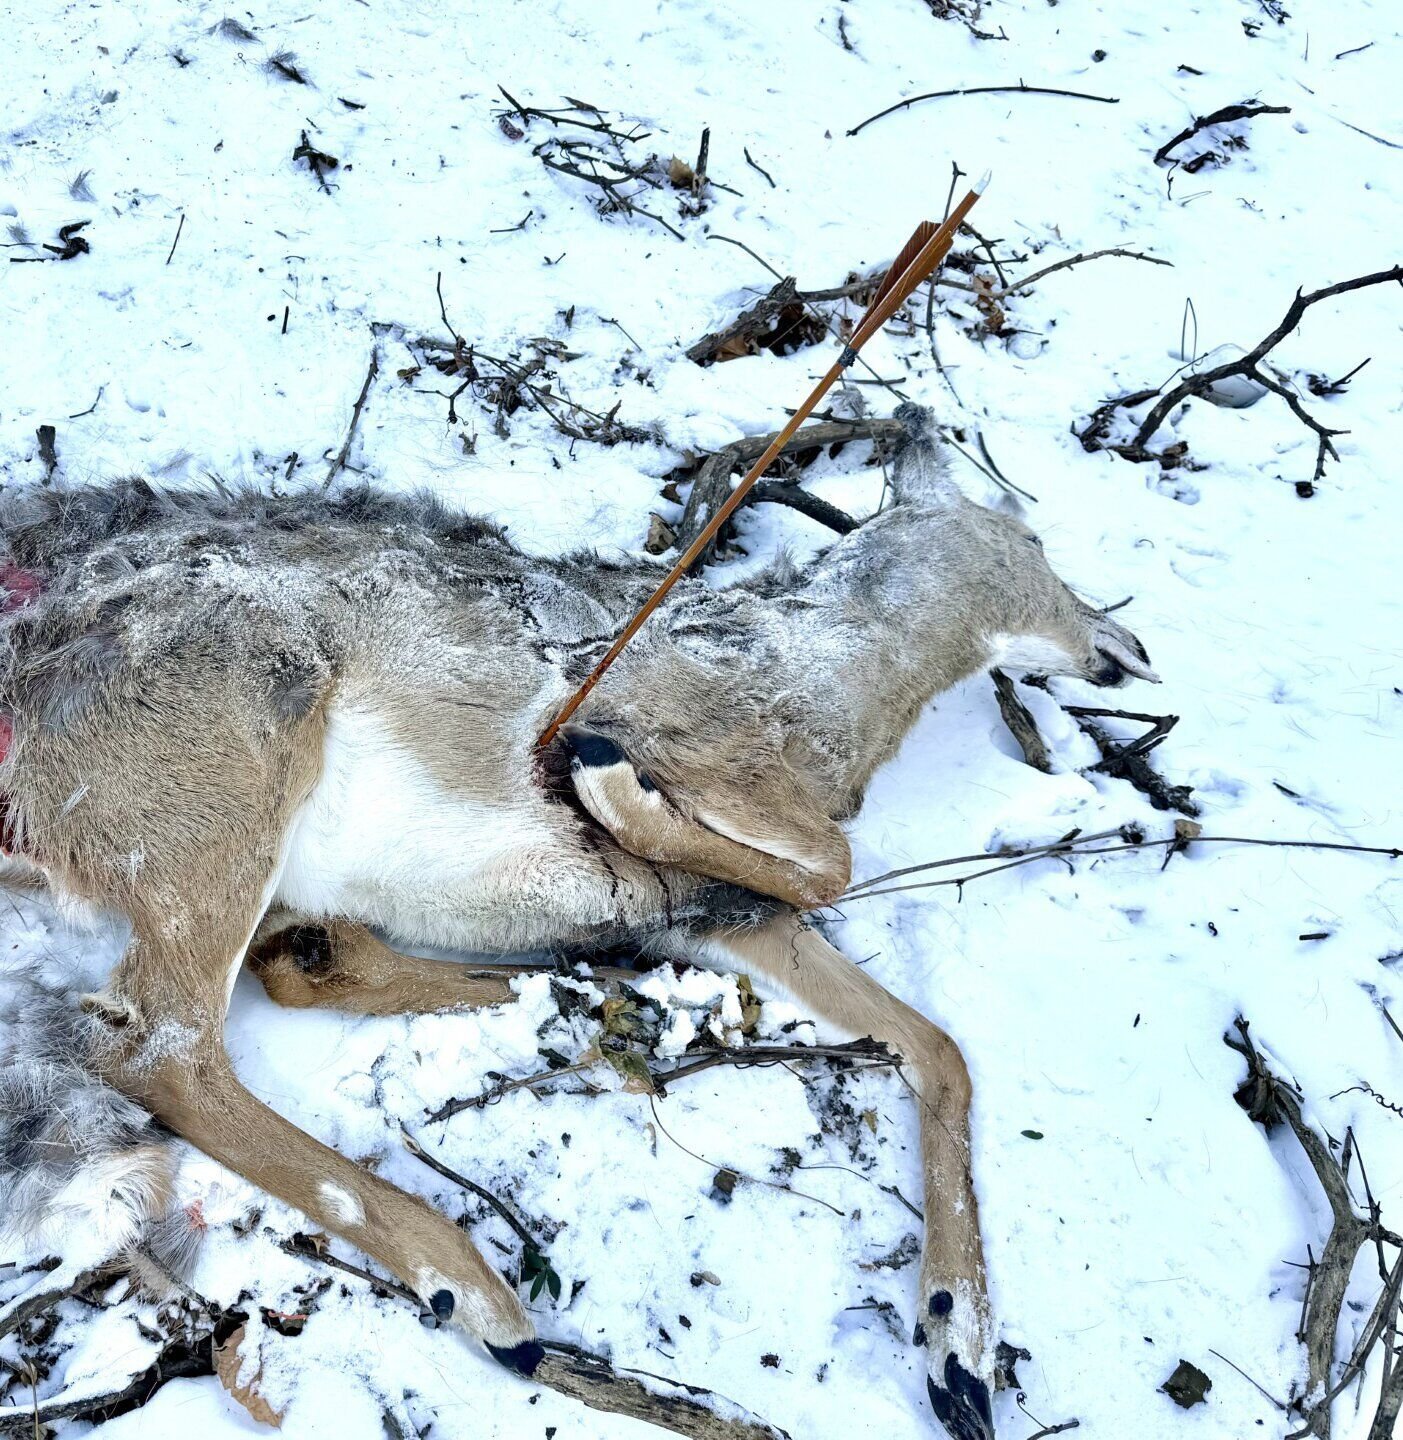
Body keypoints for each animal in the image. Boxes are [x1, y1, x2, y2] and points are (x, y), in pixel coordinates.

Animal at [0, 404, 1155, 1440]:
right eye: (1030, 536)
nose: (1127, 643)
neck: (830, 681)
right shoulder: (683, 739)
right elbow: (830, 862)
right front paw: (613, 784)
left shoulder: (727, 917)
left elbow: (934, 1042)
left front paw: (959, 1354)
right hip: (225, 752)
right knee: (158, 1043)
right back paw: (481, 1294)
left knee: (254, 984)